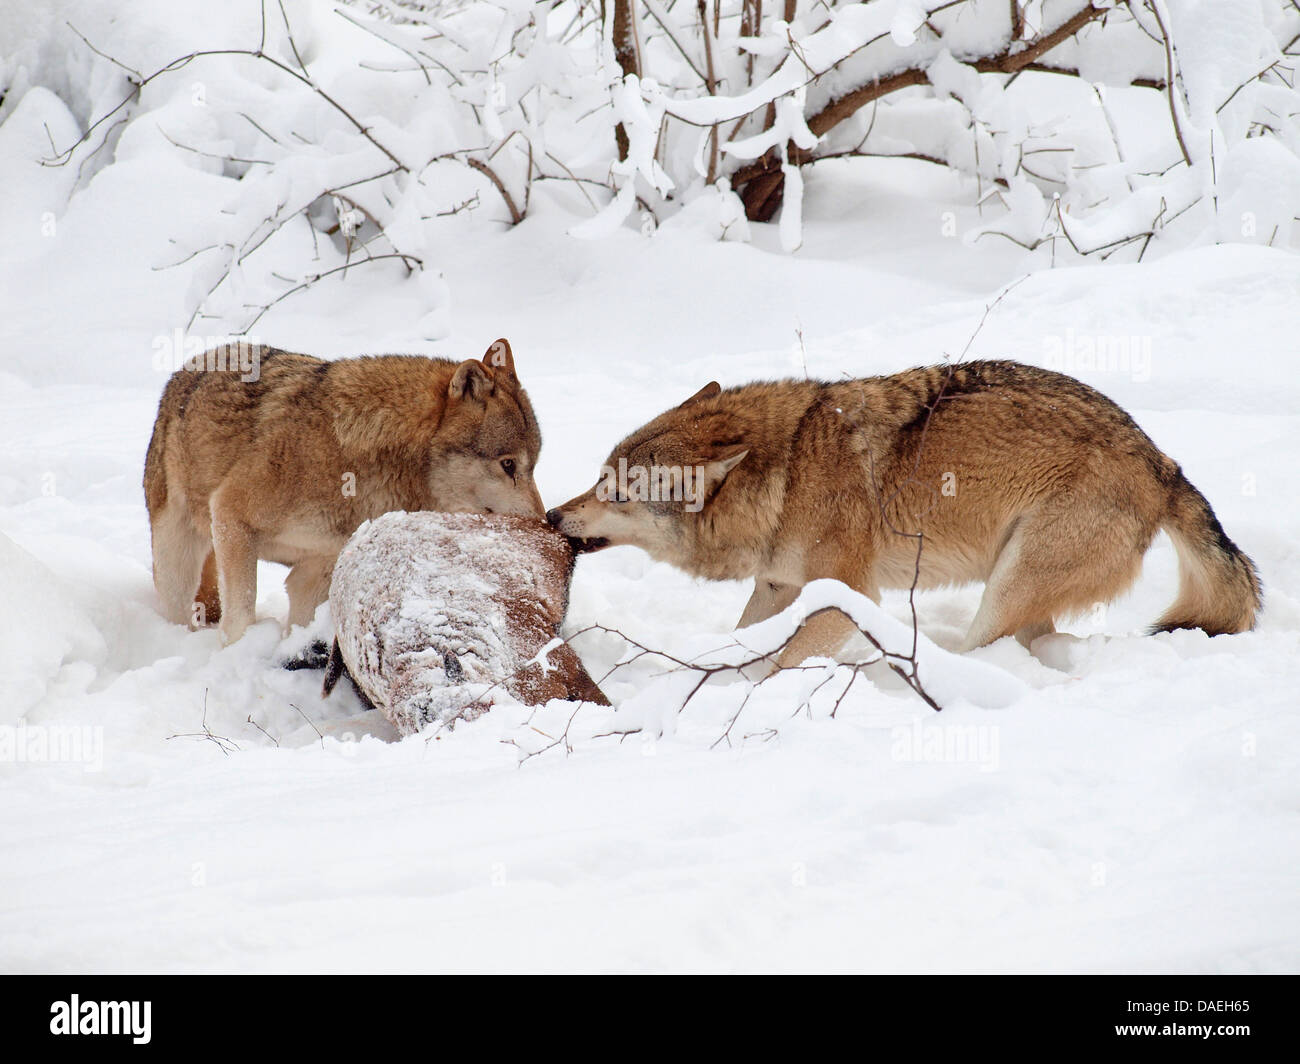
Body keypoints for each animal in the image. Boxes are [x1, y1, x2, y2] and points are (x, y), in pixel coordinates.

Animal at [548, 361, 1258, 665]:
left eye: (617, 492)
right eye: (599, 478)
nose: (553, 516)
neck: (790, 470)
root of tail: (1163, 462)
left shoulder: (849, 595)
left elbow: (779, 661)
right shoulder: (779, 583)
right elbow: (745, 639)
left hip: (1007, 585)